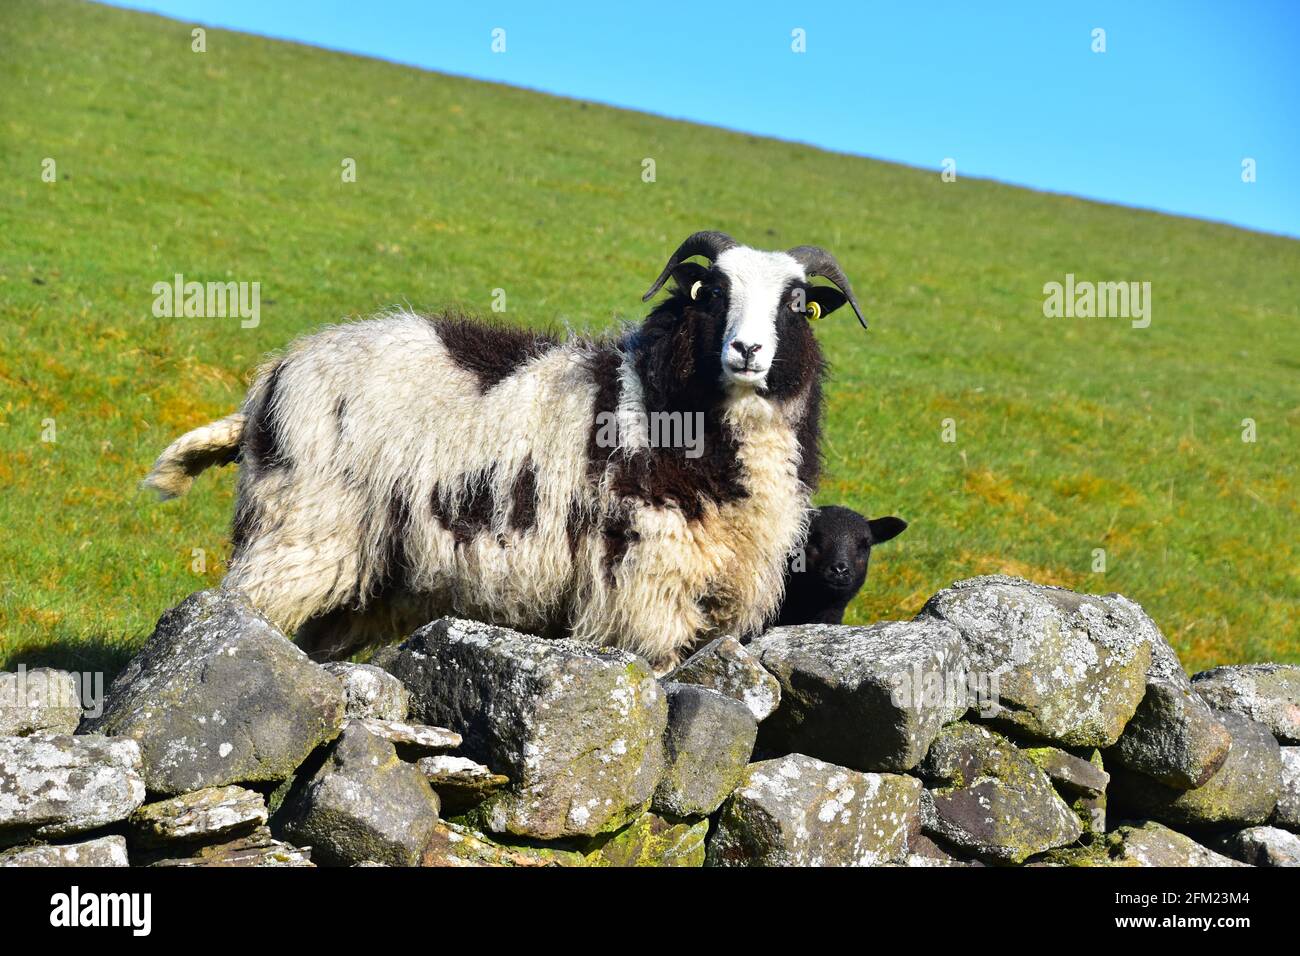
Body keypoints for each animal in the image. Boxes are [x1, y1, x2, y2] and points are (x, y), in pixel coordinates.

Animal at [143, 231, 867, 672]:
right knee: (244, 606)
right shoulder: (645, 594)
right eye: (712, 293)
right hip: (299, 531)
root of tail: (274, 375)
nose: (747, 351)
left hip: (370, 575)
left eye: (796, 305)